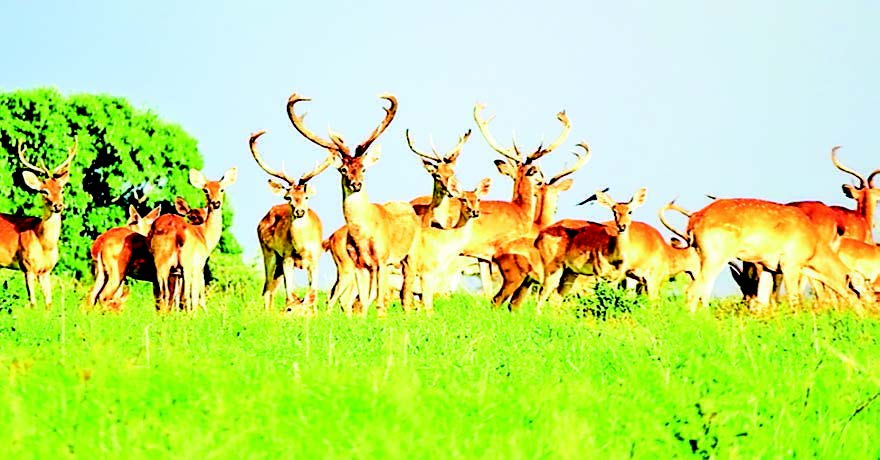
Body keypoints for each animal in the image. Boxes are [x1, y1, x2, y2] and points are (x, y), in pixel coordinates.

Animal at [0, 139, 77, 308]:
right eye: (44, 191)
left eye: (62, 190)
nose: (58, 205)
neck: (44, 243)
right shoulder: (27, 266)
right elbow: (33, 302)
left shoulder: (46, 271)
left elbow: (49, 303)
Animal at [148, 168, 237, 312]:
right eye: (205, 190)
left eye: (222, 189)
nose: (216, 203)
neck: (204, 235)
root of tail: (175, 230)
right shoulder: (198, 266)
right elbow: (194, 297)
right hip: (187, 265)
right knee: (186, 296)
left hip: (161, 262)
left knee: (162, 294)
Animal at [249, 130, 336, 313]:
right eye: (288, 197)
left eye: (306, 197)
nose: (300, 211)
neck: (301, 249)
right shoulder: (287, 256)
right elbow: (290, 294)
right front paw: (291, 311)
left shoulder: (315, 259)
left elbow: (312, 294)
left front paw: (312, 313)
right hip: (269, 253)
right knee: (267, 288)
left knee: (271, 288)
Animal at [287, 91, 419, 317]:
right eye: (343, 170)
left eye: (363, 168)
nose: (356, 184)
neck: (363, 237)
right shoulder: (359, 264)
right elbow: (363, 304)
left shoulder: (382, 259)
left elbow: (379, 304)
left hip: (409, 254)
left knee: (406, 295)